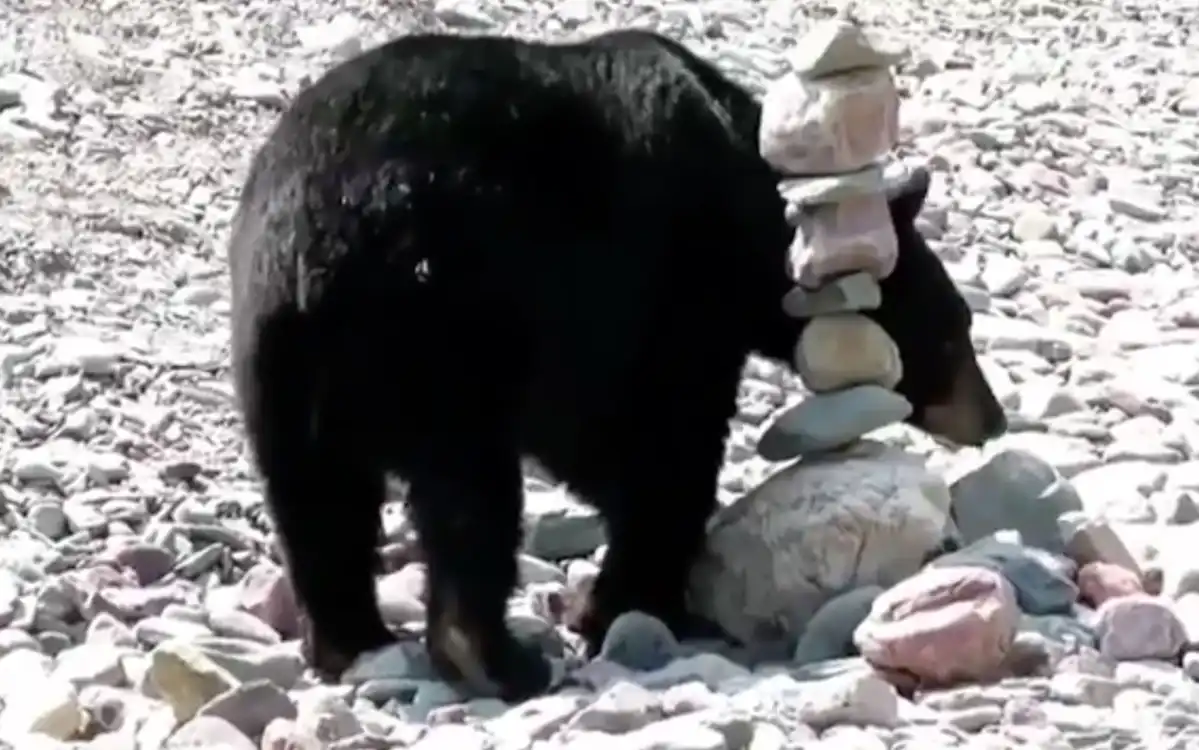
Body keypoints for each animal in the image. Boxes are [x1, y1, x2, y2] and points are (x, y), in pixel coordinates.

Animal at [225, 26, 1007, 703]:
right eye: (955, 333)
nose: (993, 418)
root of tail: (317, 245)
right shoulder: (650, 288)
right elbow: (661, 442)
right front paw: (630, 600)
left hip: (280, 361)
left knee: (318, 502)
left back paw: (353, 641)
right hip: (442, 329)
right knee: (469, 491)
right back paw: (494, 658)